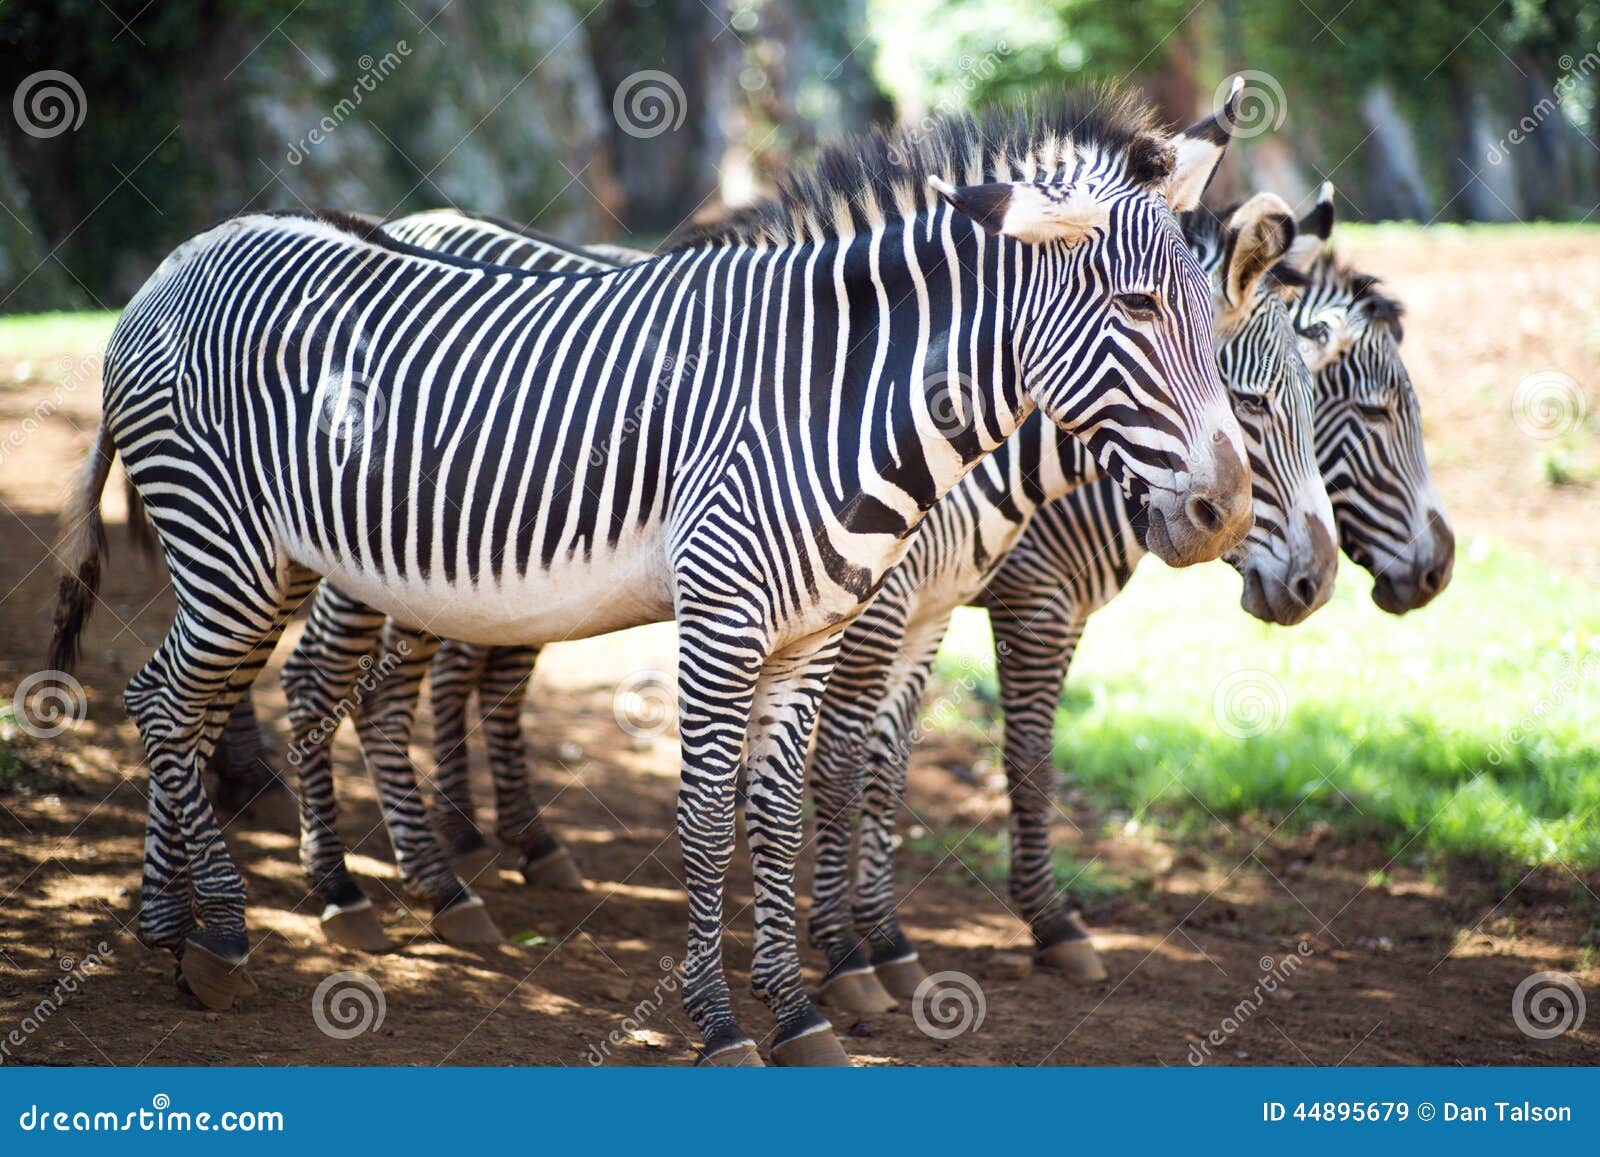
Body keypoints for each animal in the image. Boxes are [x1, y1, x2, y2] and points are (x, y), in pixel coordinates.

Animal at [50, 86, 1255, 1065]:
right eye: (1140, 308)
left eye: (1213, 317)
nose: (1223, 513)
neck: (835, 401)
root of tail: (179, 260)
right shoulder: (724, 618)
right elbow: (706, 814)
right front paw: (721, 1024)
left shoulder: (810, 637)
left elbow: (776, 813)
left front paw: (799, 1011)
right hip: (230, 549)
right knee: (169, 700)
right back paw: (224, 931)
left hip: (278, 559)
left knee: (181, 700)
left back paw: (173, 924)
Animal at [827, 184, 1456, 1002]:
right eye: (1377, 412)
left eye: (1314, 406)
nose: (1439, 569)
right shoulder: (1027, 602)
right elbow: (1025, 760)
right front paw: (1052, 924)